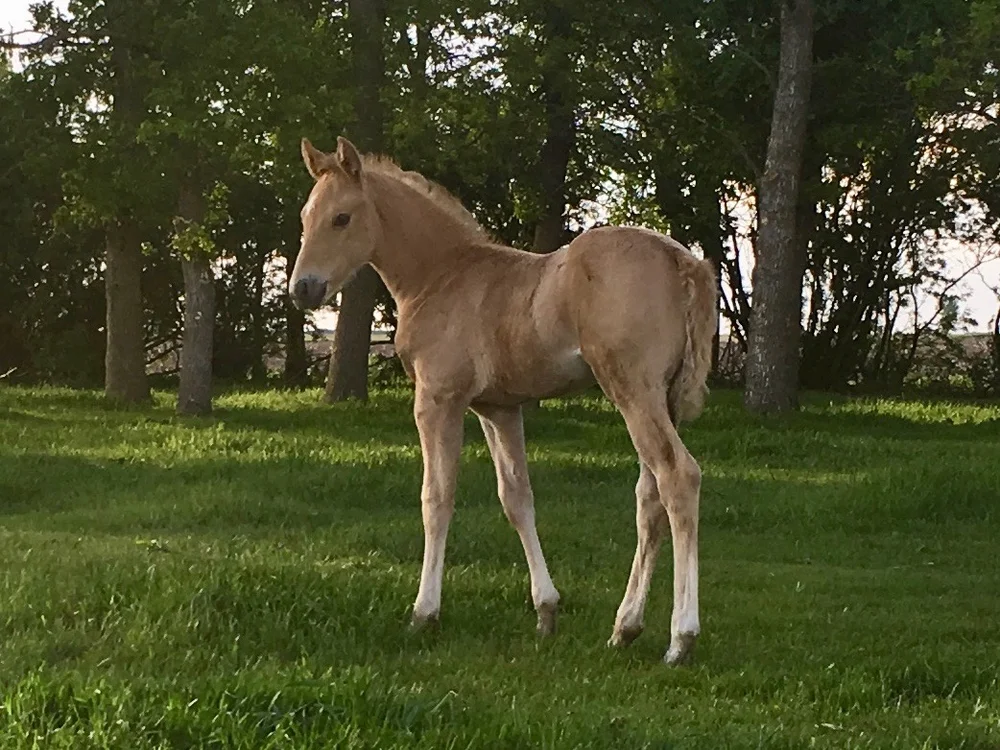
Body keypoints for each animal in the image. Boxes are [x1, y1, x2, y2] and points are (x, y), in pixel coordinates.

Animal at [288, 136, 717, 665]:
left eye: (342, 218)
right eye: (306, 216)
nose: (303, 289)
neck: (441, 276)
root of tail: (684, 262)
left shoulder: (438, 399)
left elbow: (436, 497)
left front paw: (424, 614)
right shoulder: (498, 408)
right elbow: (516, 499)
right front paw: (546, 612)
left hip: (633, 391)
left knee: (678, 477)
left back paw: (680, 639)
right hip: (661, 398)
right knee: (649, 495)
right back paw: (625, 627)